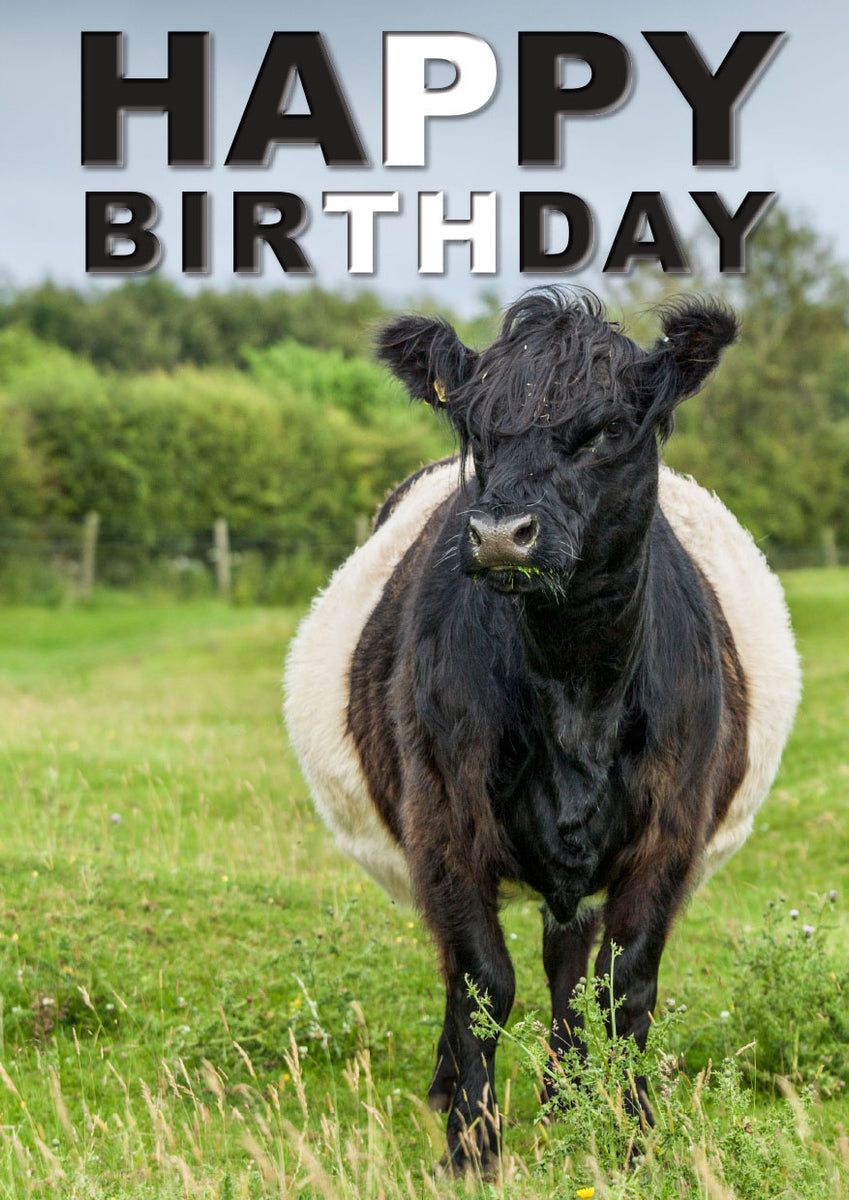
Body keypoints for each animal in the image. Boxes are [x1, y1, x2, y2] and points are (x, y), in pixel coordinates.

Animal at [284, 290, 800, 1173]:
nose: (500, 534)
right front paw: (470, 1148)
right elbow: (481, 982)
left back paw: (566, 1098)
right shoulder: (444, 822)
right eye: (477, 429)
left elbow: (624, 986)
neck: (575, 683)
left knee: (570, 966)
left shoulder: (670, 828)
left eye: (606, 428)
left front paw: (630, 1135)